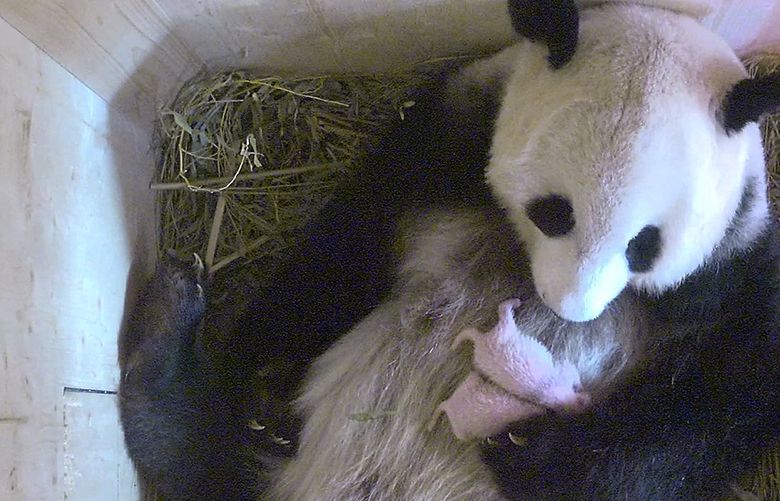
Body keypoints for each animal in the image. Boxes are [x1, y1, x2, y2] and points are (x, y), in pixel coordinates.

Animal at [118, 0, 780, 500]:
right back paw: (169, 333)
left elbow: (714, 401)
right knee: (205, 451)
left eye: (645, 245)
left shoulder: (734, 273)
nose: (568, 308)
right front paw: (267, 379)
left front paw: (525, 448)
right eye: (554, 212)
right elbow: (344, 249)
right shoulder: (446, 137)